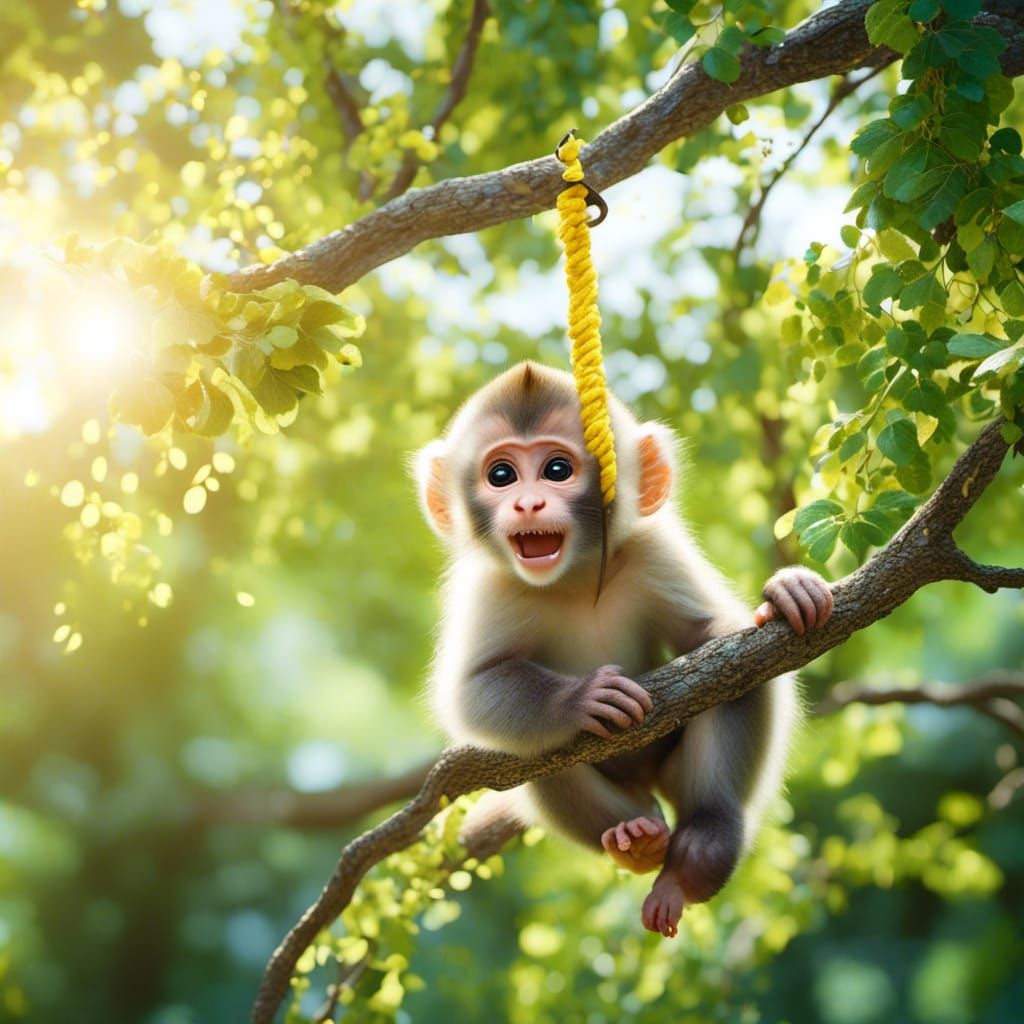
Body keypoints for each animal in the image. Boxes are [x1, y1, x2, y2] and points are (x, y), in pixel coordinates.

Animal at [415, 361, 833, 938]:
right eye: (501, 475)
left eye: (557, 469)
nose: (527, 503)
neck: (574, 579)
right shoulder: (489, 586)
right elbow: (471, 691)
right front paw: (585, 699)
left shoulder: (654, 550)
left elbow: (714, 639)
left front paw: (783, 596)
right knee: (529, 755)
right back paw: (635, 842)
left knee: (738, 686)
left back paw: (697, 852)